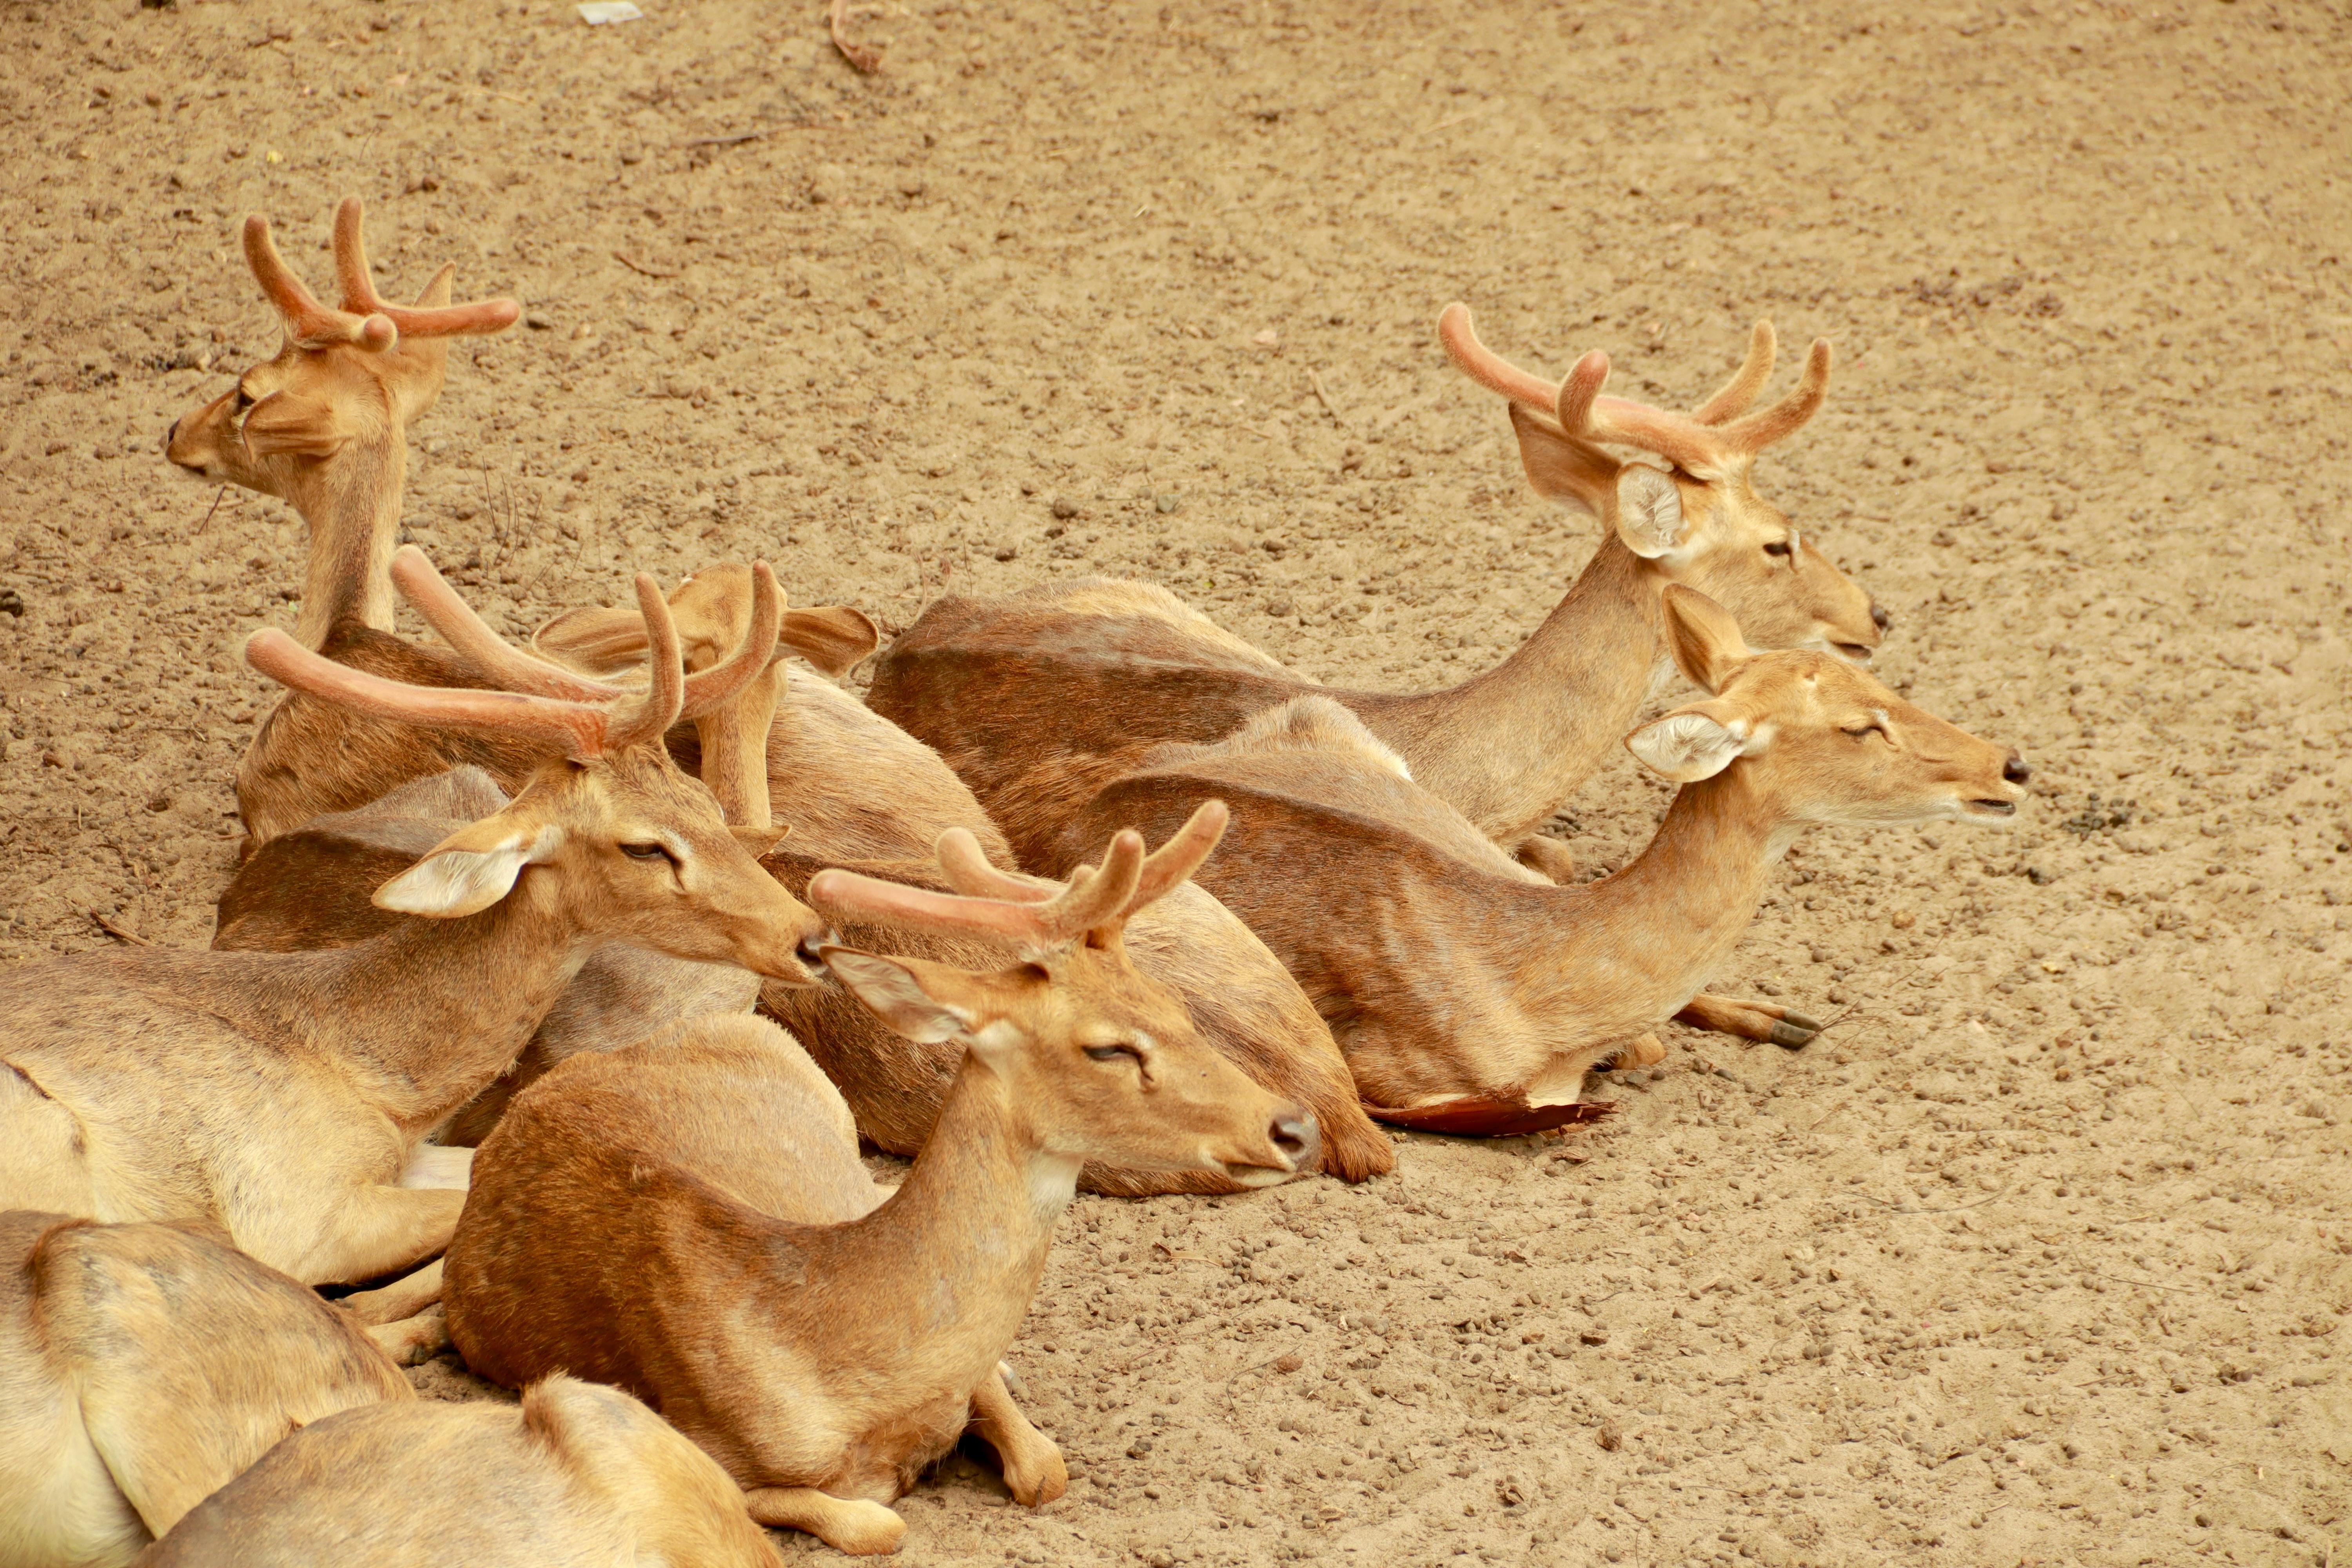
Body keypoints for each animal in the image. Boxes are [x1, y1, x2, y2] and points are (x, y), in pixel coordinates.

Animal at [442, 805, 1314, 1556]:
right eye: (1109, 1046)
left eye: (1175, 1007)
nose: (1292, 1127)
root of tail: (545, 1088)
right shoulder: (702, 1436)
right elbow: (875, 1521)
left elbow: (1044, 1467)